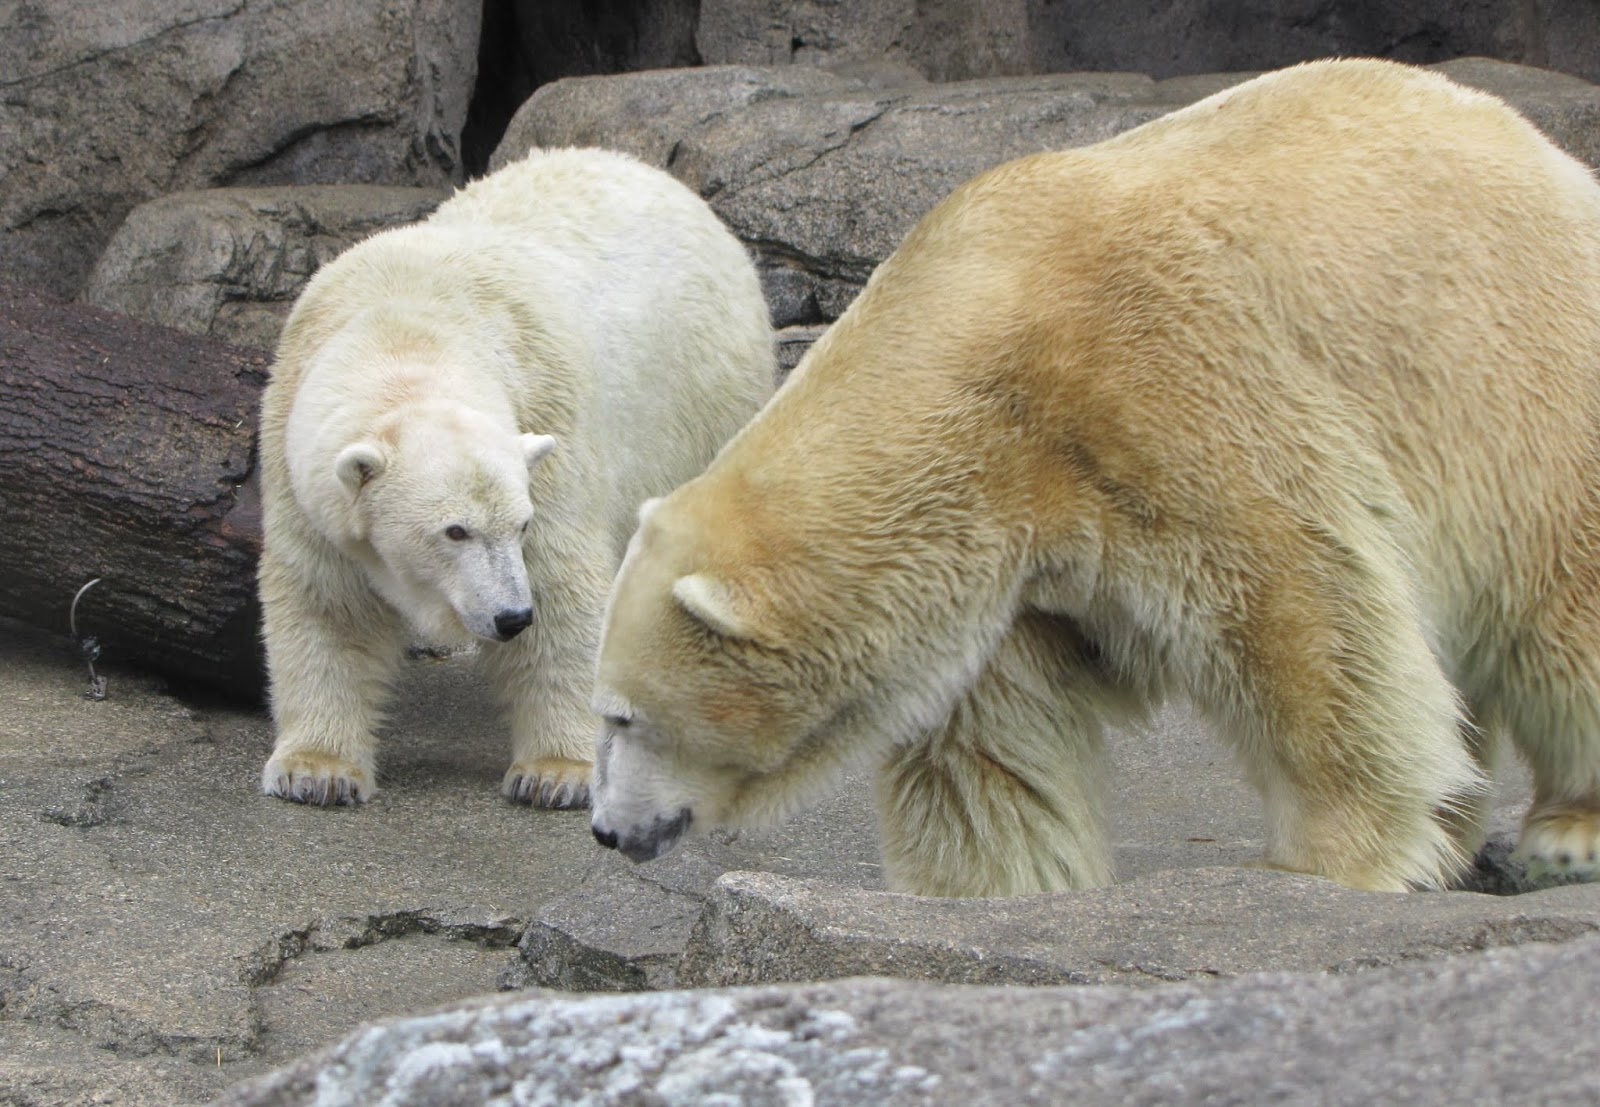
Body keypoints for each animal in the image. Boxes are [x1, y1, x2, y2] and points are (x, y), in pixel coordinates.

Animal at [257, 146, 775, 808]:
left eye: (520, 527)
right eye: (454, 531)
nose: (510, 616)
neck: (406, 324)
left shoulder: (547, 414)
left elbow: (559, 587)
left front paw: (556, 774)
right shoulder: (297, 455)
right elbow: (326, 599)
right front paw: (315, 771)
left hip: (705, 389)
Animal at [587, 59, 1600, 896]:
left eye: (624, 717)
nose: (605, 830)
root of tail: (1544, 149)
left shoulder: (1163, 391)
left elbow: (1304, 616)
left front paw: (1334, 858)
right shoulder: (993, 556)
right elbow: (990, 747)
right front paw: (983, 893)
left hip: (1516, 380)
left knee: (1562, 610)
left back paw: (1565, 831)